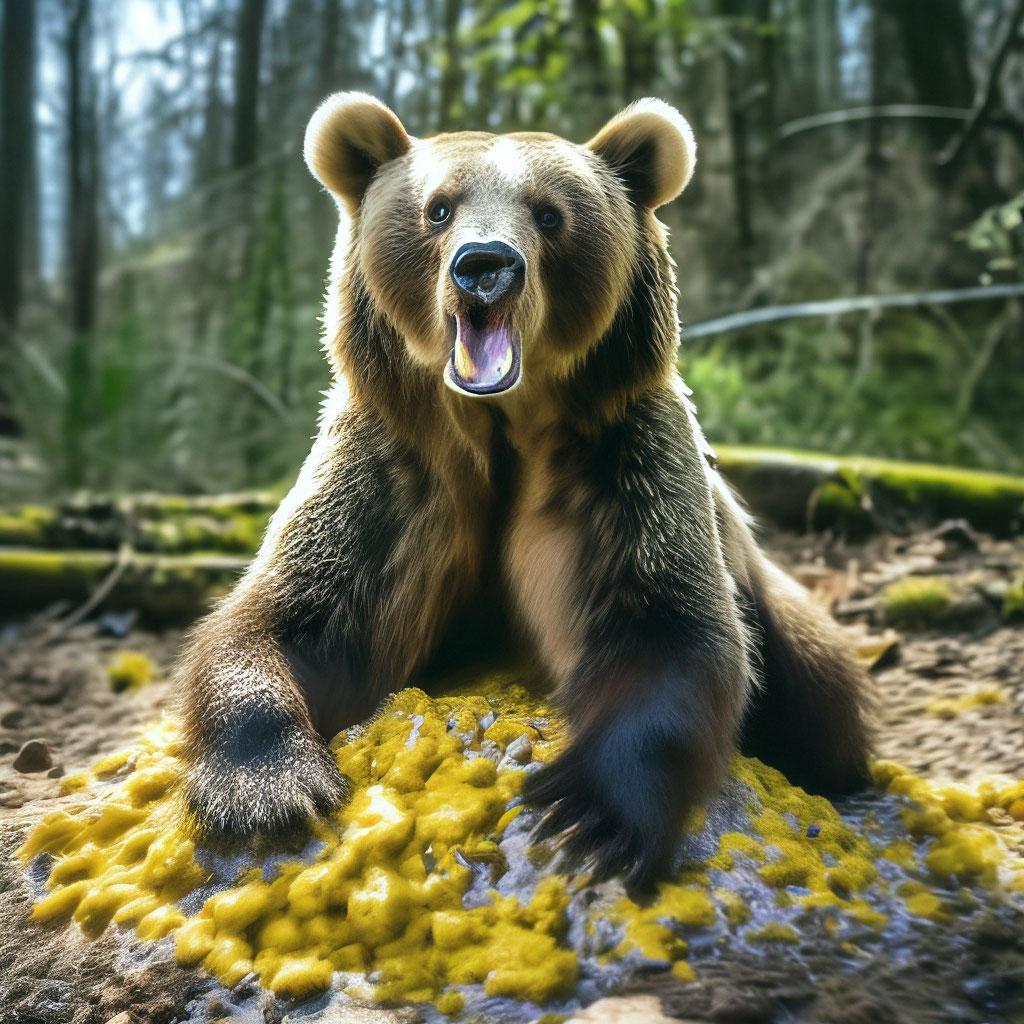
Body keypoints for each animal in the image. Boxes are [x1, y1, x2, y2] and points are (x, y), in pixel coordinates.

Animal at [178, 92, 874, 890]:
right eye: (438, 208)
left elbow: (666, 625)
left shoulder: (615, 462)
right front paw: (269, 788)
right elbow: (291, 616)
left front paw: (591, 814)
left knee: (821, 688)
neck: (502, 432)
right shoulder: (395, 471)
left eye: (549, 213)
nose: (485, 266)